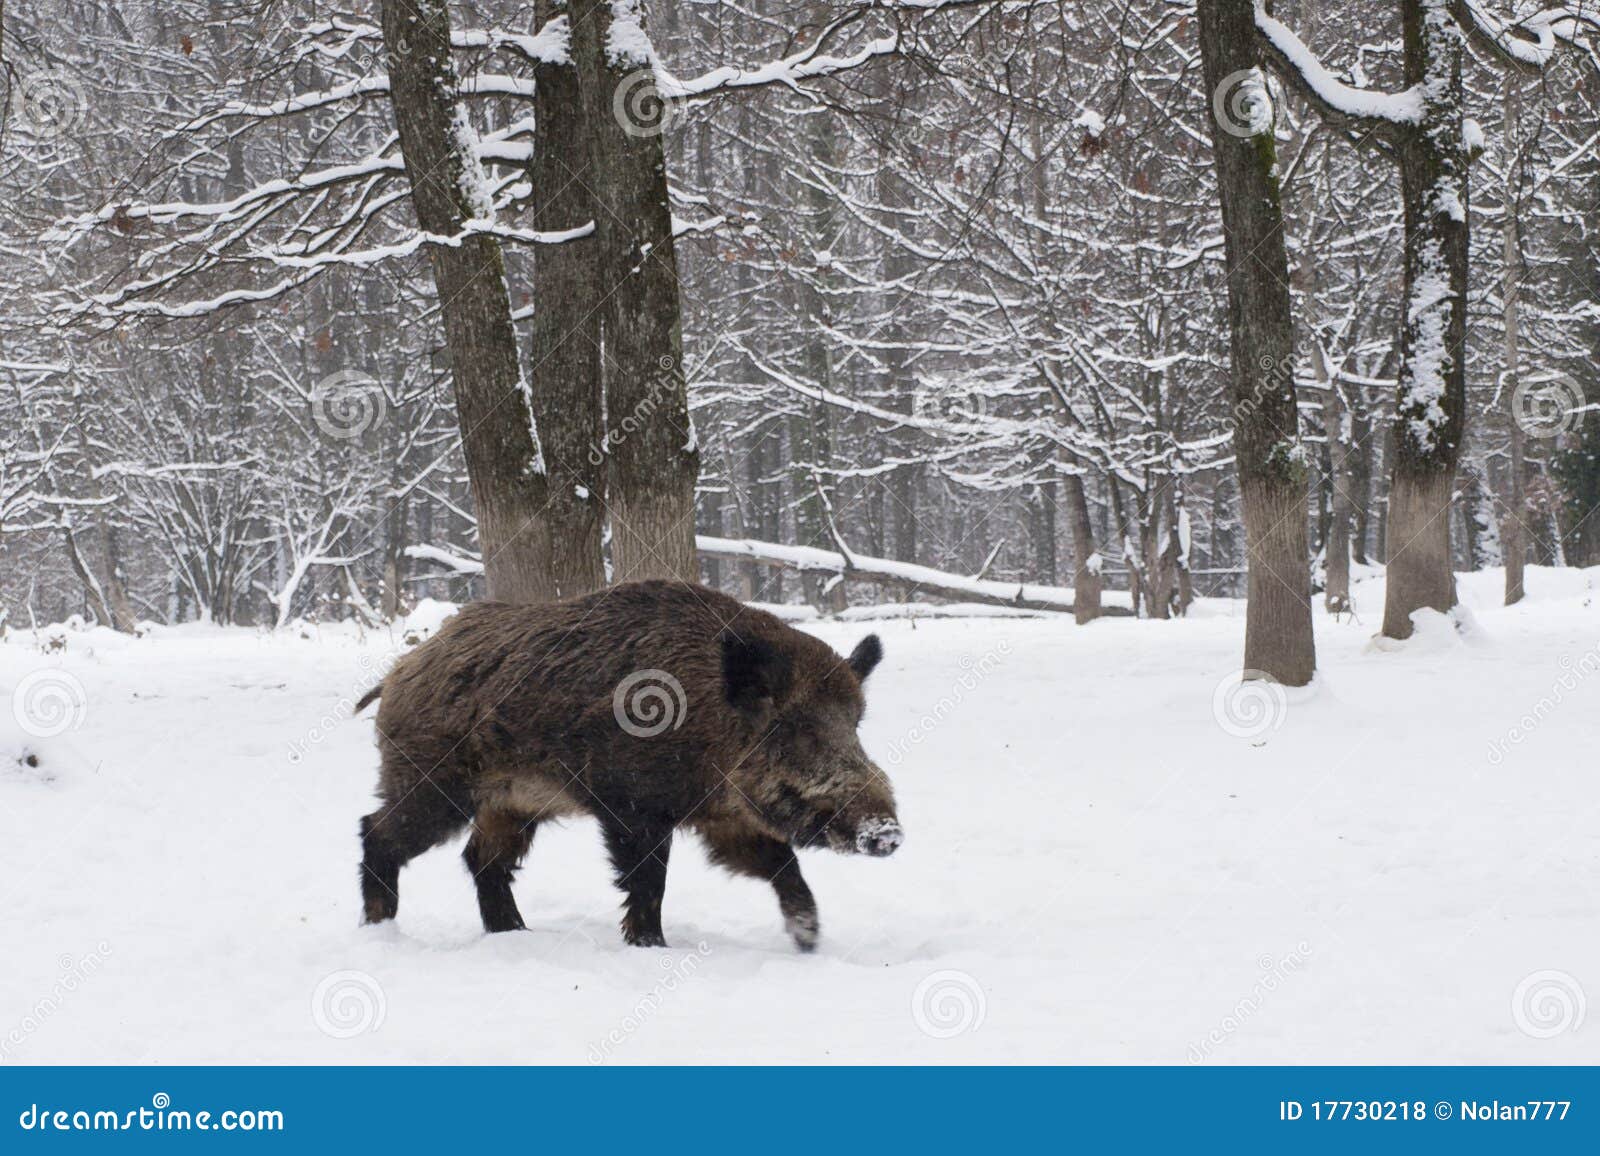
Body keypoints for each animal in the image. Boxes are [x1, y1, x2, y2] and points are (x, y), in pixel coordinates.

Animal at [354, 579, 900, 951]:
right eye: (798, 728)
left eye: (855, 723)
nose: (888, 832)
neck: (710, 722)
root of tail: (401, 671)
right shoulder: (633, 807)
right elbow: (648, 881)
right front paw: (650, 946)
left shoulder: (723, 818)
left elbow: (780, 862)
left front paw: (808, 939)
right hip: (434, 785)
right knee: (377, 831)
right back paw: (381, 927)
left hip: (512, 804)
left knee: (482, 858)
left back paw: (515, 934)